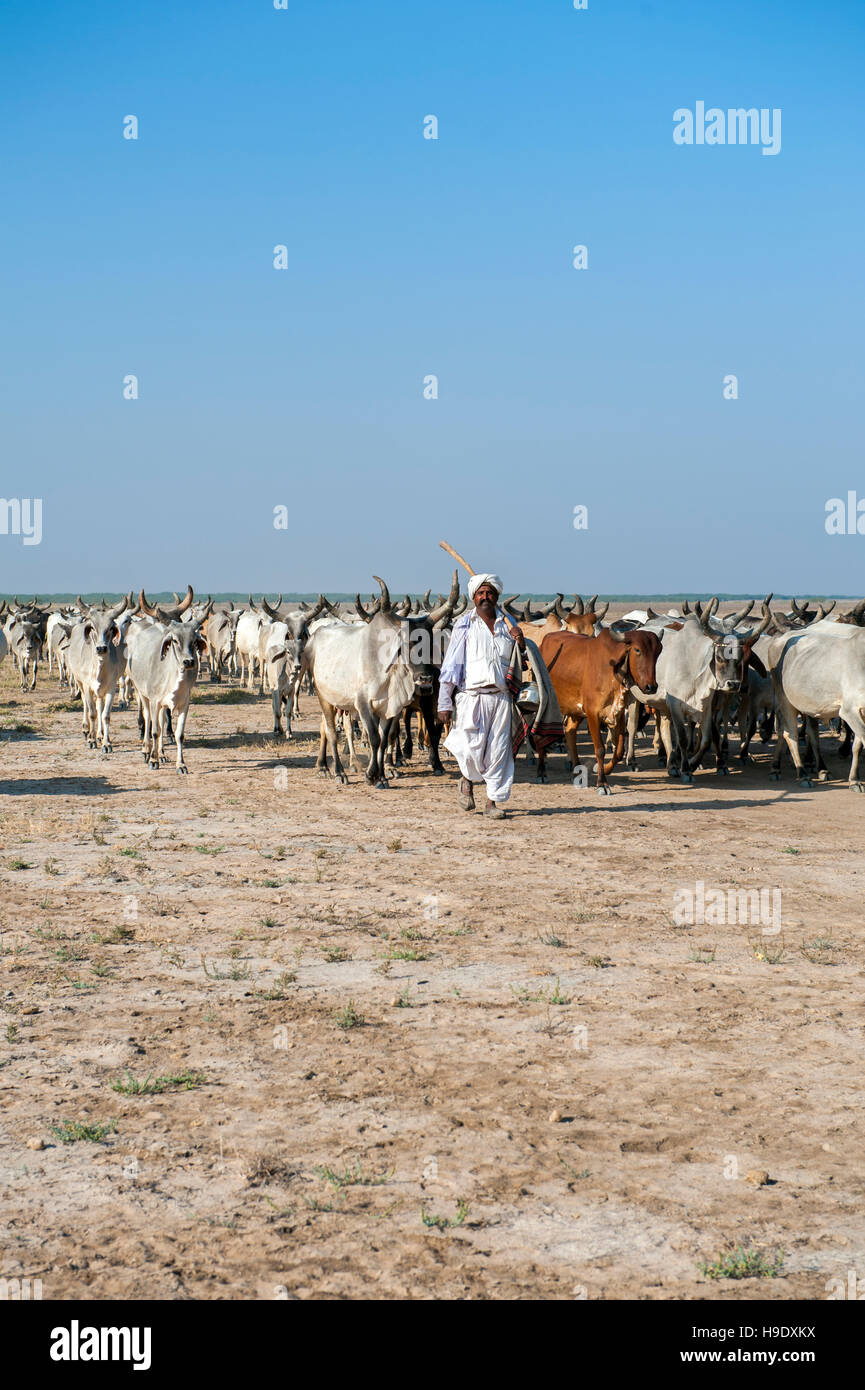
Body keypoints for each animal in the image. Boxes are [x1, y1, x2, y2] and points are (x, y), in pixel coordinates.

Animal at [539, 627, 662, 792]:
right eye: (637, 650)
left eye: (658, 651)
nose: (651, 687)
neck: (611, 670)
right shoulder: (593, 714)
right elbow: (600, 749)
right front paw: (602, 783)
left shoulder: (619, 713)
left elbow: (619, 751)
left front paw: (605, 769)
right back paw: (541, 771)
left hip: (575, 711)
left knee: (570, 731)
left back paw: (577, 771)